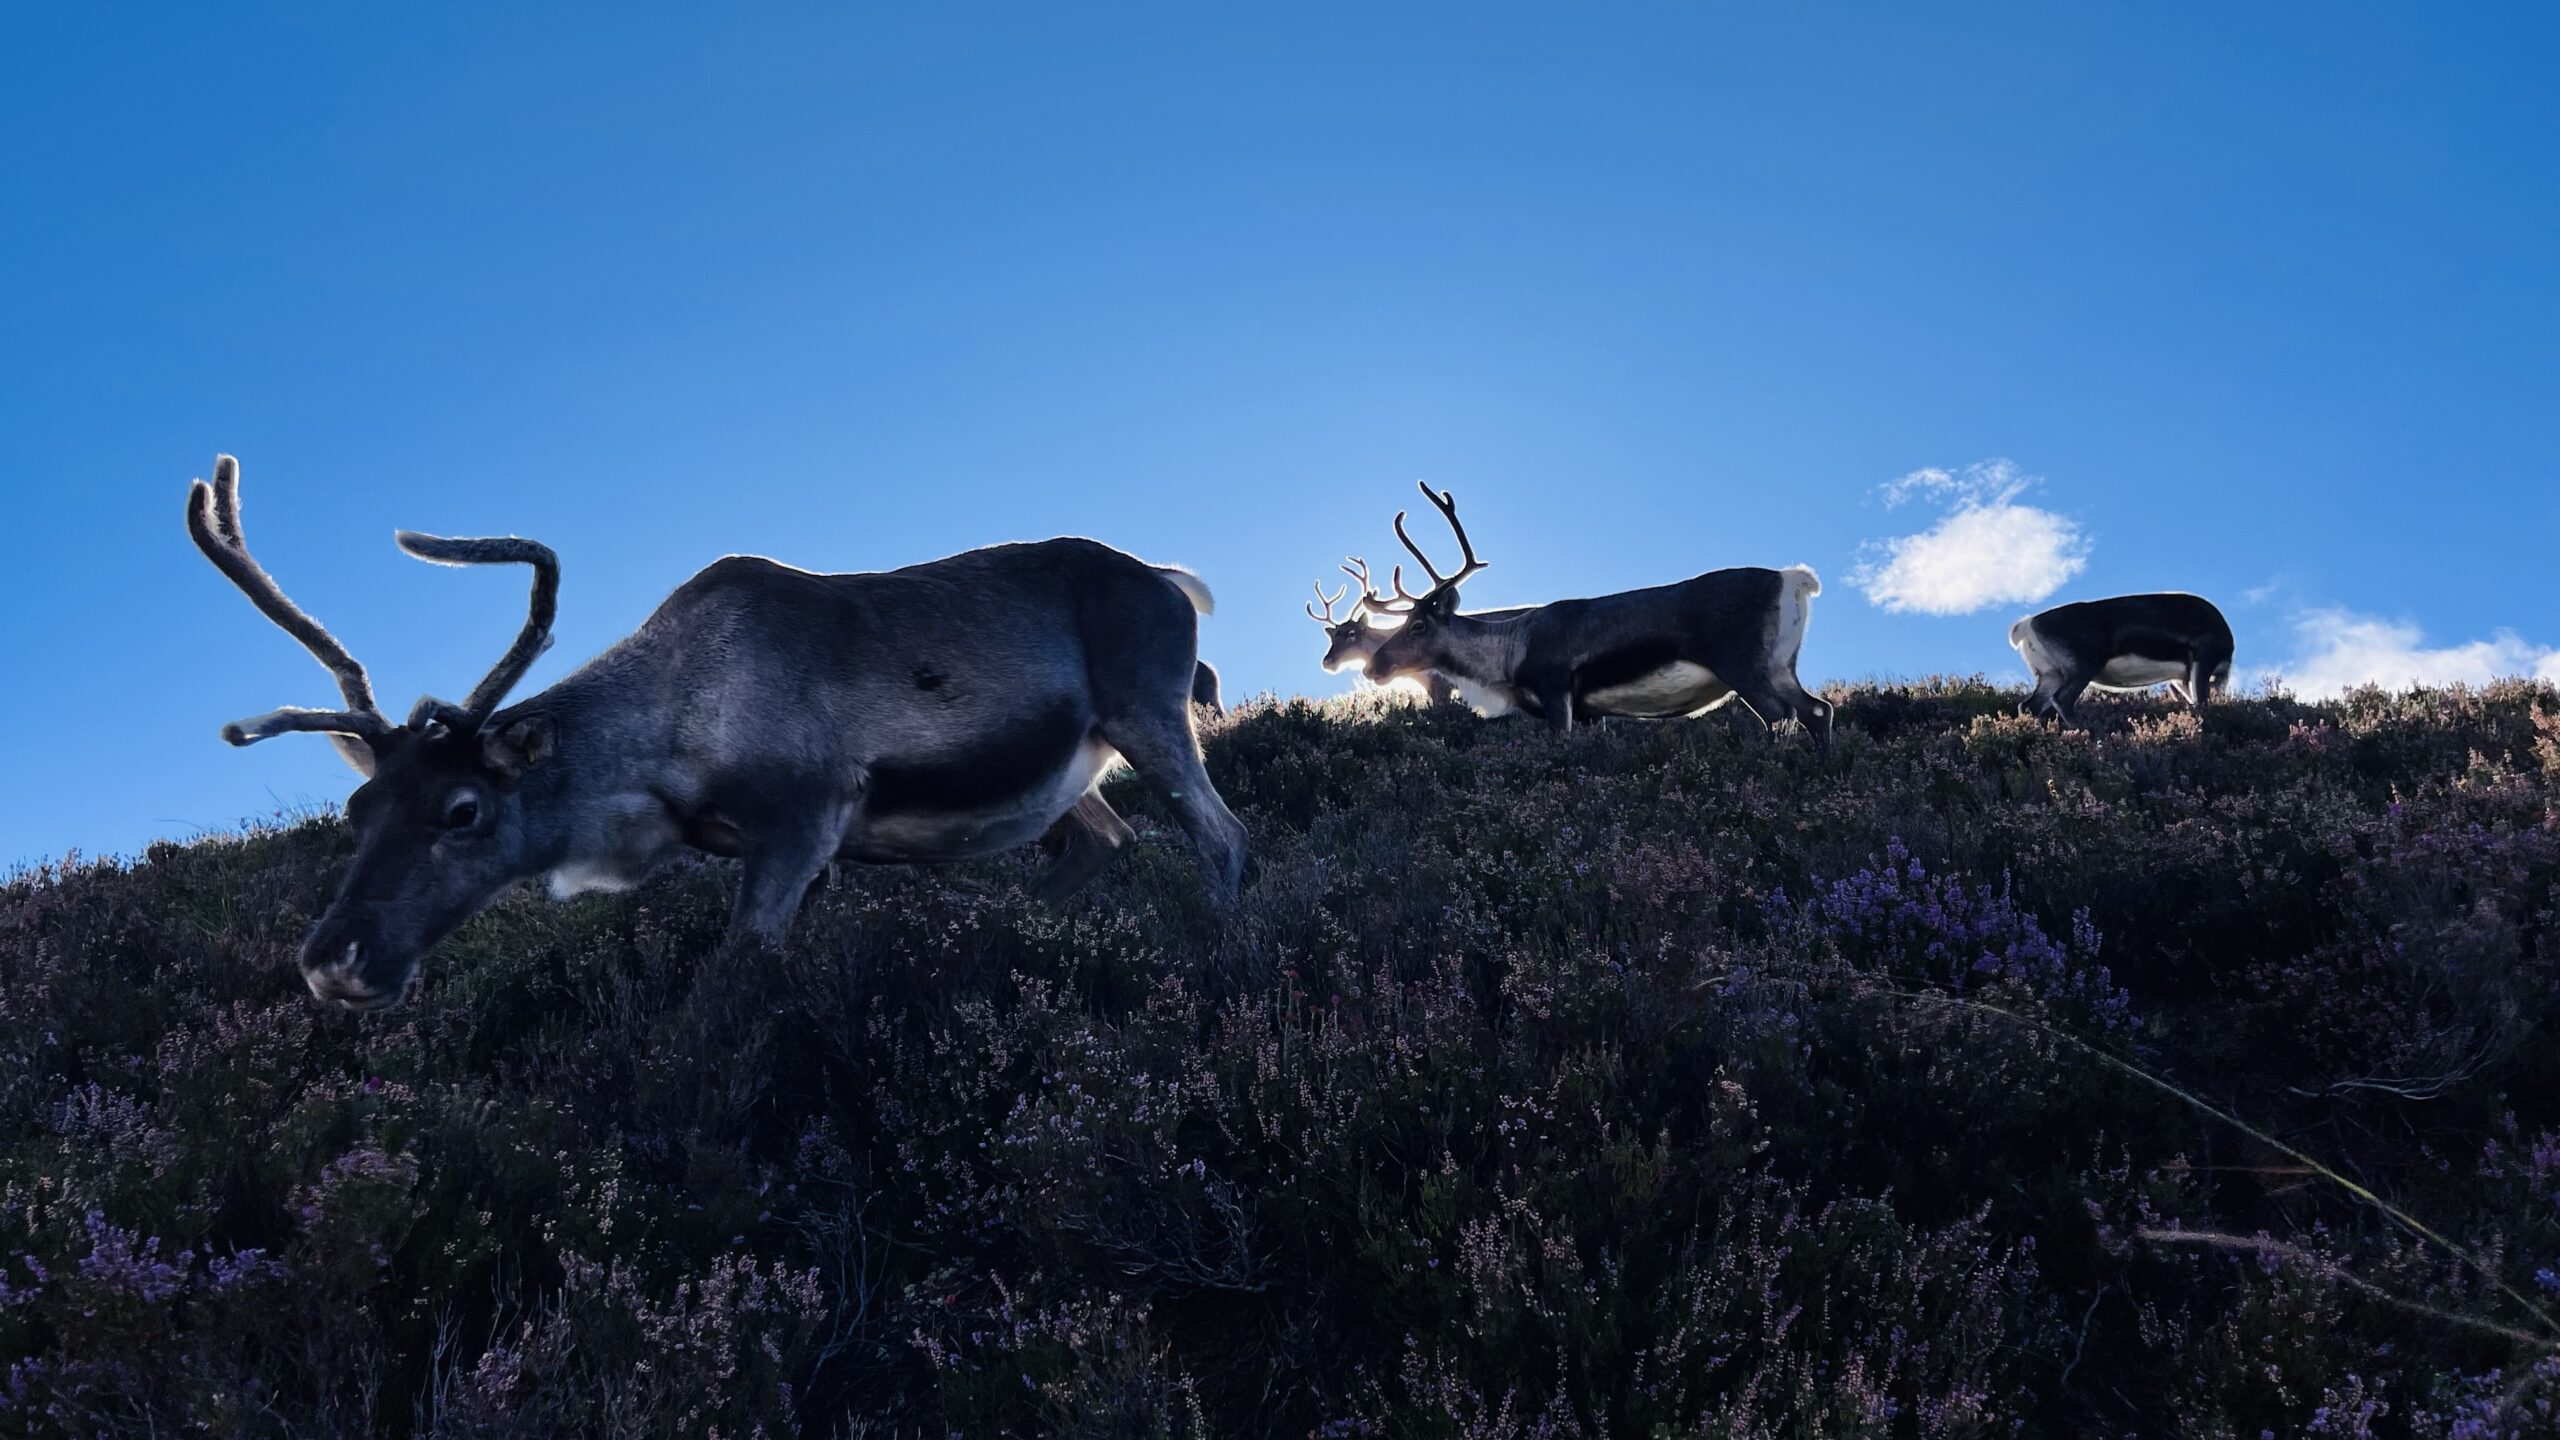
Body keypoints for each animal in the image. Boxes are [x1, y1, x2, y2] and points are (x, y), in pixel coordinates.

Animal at [187, 454, 1247, 1010]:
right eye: (359, 806)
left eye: (463, 809)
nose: (331, 962)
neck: (663, 756)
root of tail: (1173, 580)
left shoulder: (803, 822)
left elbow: (722, 989)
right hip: (1071, 773)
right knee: (1105, 842)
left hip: (1149, 712)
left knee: (1222, 835)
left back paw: (1226, 953)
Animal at [1360, 482, 1832, 751]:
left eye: (1418, 625)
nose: (1372, 666)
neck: (1507, 655)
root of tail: (1793, 581)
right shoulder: (1591, 712)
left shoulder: (1557, 691)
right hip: (1782, 666)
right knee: (1818, 711)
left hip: (1743, 665)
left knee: (1781, 717)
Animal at [2009, 592, 2234, 724]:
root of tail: (2027, 624)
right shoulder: (2203, 662)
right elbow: (2202, 703)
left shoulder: (2181, 679)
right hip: (2085, 667)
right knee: (2061, 699)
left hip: (2051, 676)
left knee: (2029, 706)